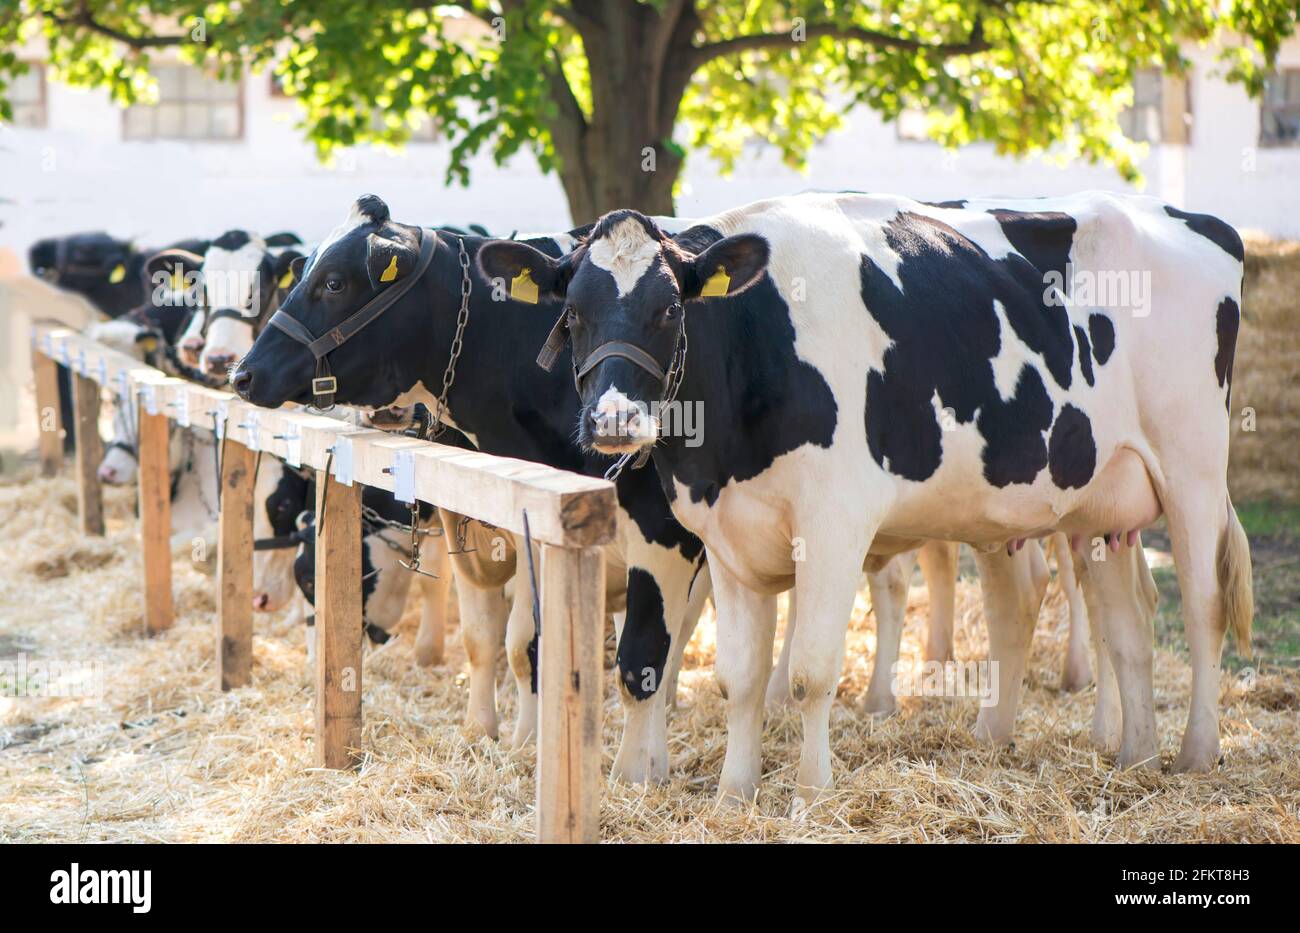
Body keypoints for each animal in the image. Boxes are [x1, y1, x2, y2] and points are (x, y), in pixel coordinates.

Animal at [476, 191, 1252, 807]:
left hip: (1192, 467)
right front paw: (734, 794)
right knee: (1125, 625)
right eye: (573, 313)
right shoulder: (724, 537)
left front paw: (810, 792)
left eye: (669, 308)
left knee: (1204, 608)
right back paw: (1133, 755)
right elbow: (740, 678)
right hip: (1100, 503)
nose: (613, 421)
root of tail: (1194, 219)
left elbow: (811, 672)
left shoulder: (833, 522)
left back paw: (1197, 753)